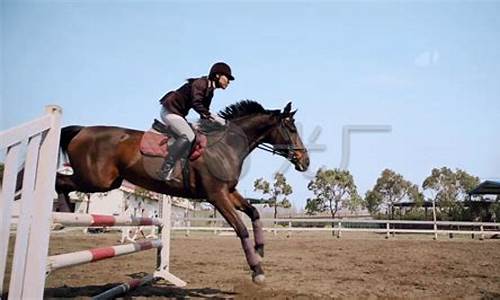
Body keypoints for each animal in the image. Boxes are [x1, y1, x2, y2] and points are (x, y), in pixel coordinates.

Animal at [53, 101, 308, 284]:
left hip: (107, 182)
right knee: (59, 181)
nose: (305, 161)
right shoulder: (217, 196)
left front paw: (260, 250)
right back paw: (60, 218)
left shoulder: (229, 192)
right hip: (96, 180)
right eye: (291, 128)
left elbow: (254, 213)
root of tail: (82, 131)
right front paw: (257, 270)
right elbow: (241, 229)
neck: (226, 146)